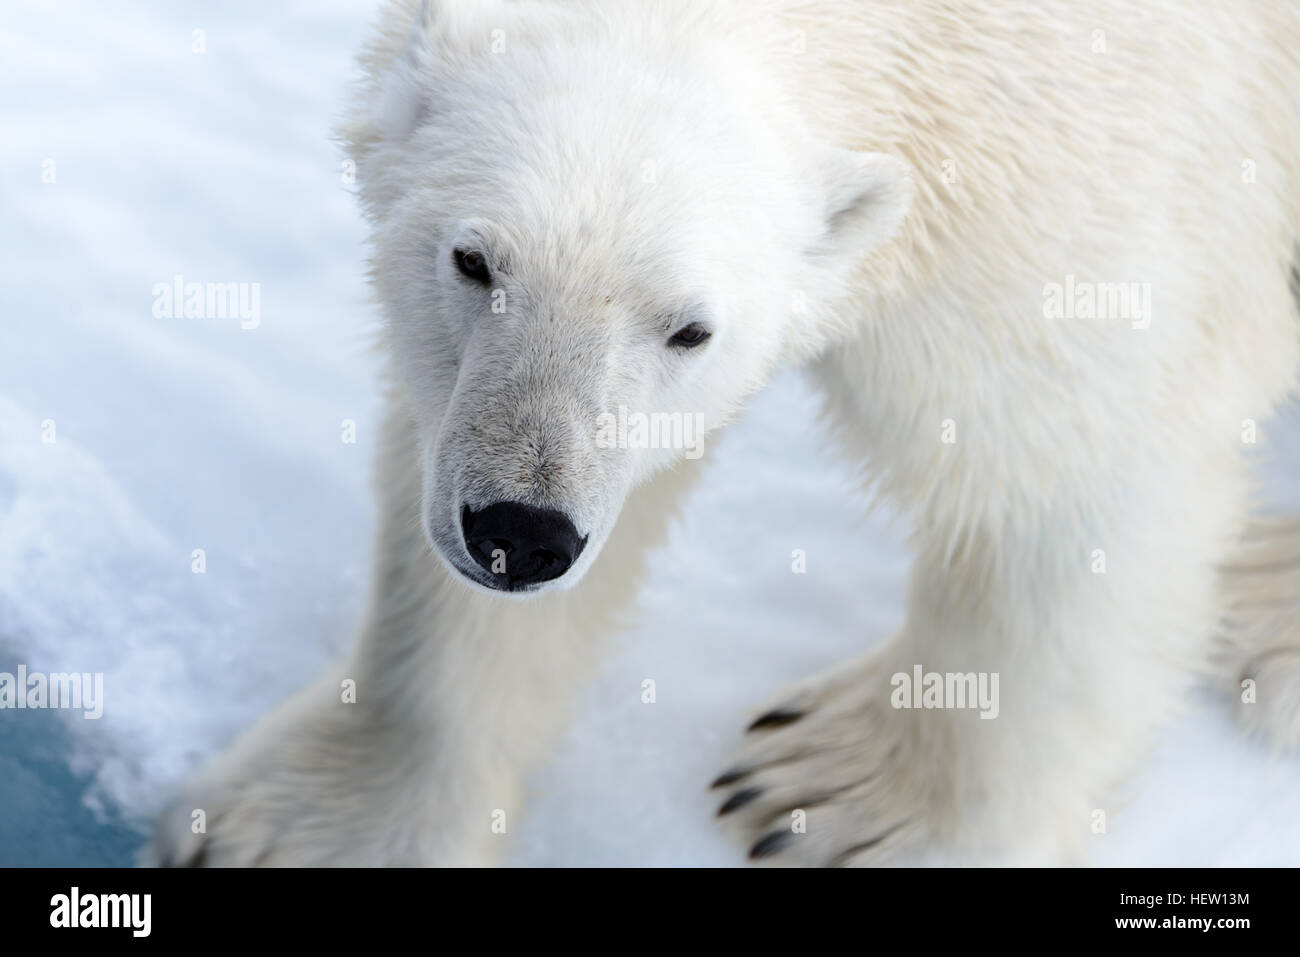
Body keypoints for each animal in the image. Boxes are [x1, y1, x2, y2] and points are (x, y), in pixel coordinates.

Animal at [149, 0, 1300, 866]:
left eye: (690, 328)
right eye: (474, 261)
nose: (521, 530)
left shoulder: (1083, 183)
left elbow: (1070, 478)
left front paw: (848, 797)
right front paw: (315, 824)